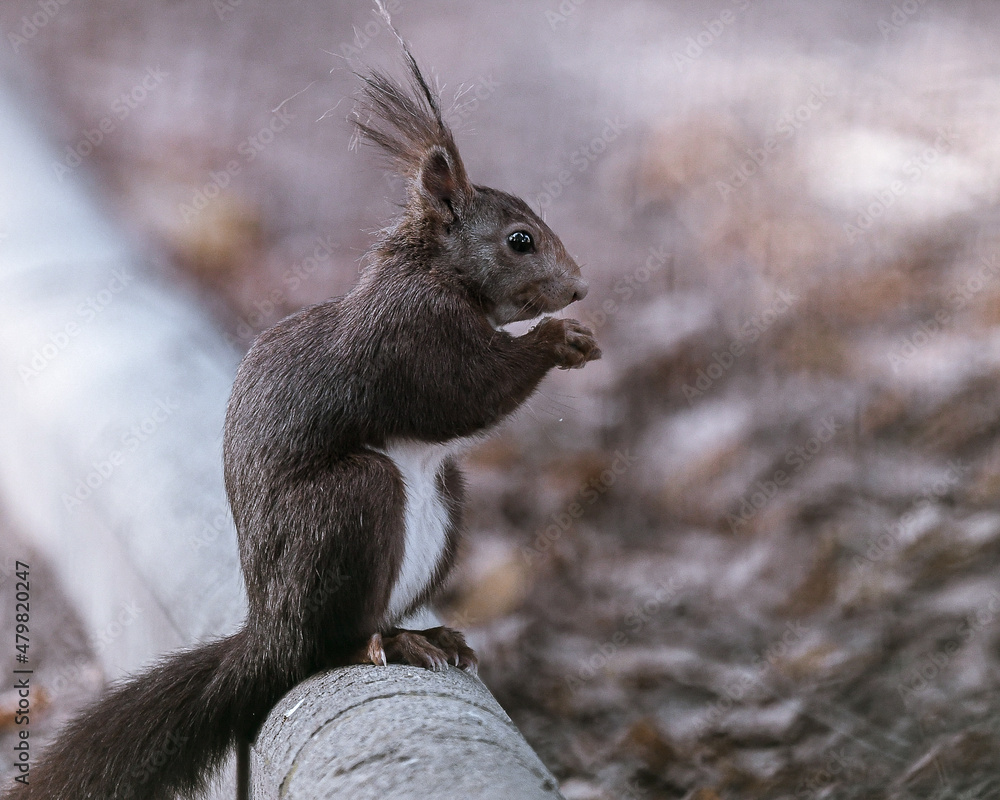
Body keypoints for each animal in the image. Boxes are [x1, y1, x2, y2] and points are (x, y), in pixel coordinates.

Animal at [5, 16, 600, 800]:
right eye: (519, 240)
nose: (578, 288)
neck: (431, 271)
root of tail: (269, 633)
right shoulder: (410, 338)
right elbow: (460, 395)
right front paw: (557, 340)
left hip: (445, 496)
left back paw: (427, 634)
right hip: (352, 503)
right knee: (332, 643)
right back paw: (391, 642)